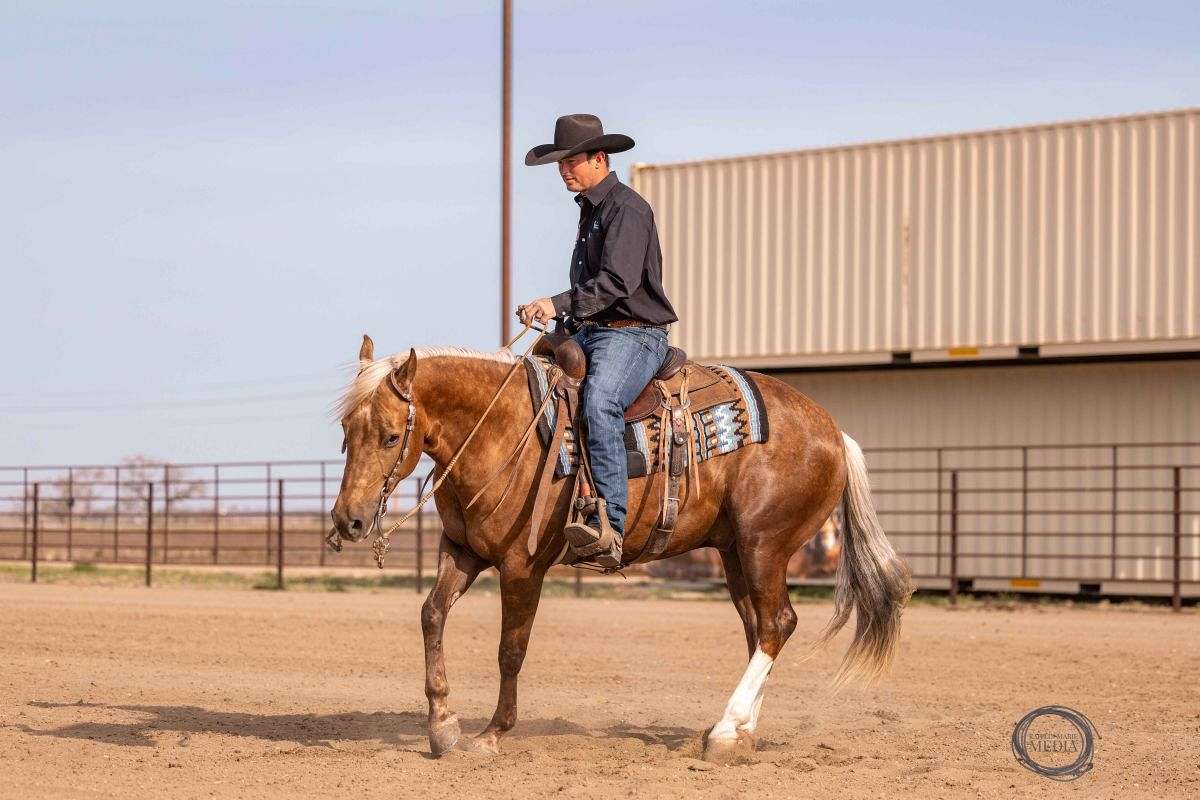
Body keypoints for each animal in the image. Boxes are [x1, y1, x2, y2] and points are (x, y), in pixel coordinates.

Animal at [328, 334, 912, 763]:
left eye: (389, 436)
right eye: (345, 430)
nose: (348, 520)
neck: (500, 429)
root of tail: (834, 433)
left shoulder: (522, 566)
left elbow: (510, 650)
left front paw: (492, 733)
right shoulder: (462, 551)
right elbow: (431, 615)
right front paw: (442, 725)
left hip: (763, 544)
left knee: (776, 624)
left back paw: (725, 732)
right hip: (734, 553)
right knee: (758, 628)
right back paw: (741, 731)